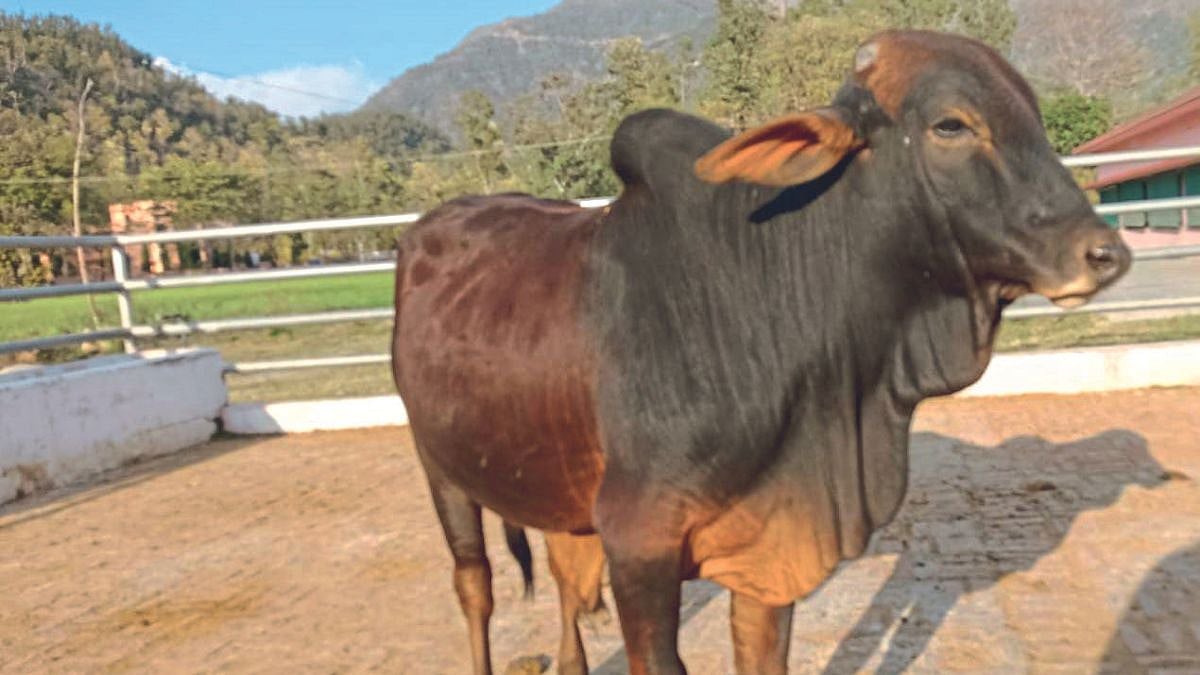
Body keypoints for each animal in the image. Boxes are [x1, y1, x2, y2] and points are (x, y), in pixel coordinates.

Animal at [390, 30, 1131, 675]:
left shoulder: (768, 556)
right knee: (476, 588)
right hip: (440, 470)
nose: (1105, 253)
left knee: (567, 589)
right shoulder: (639, 542)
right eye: (952, 125)